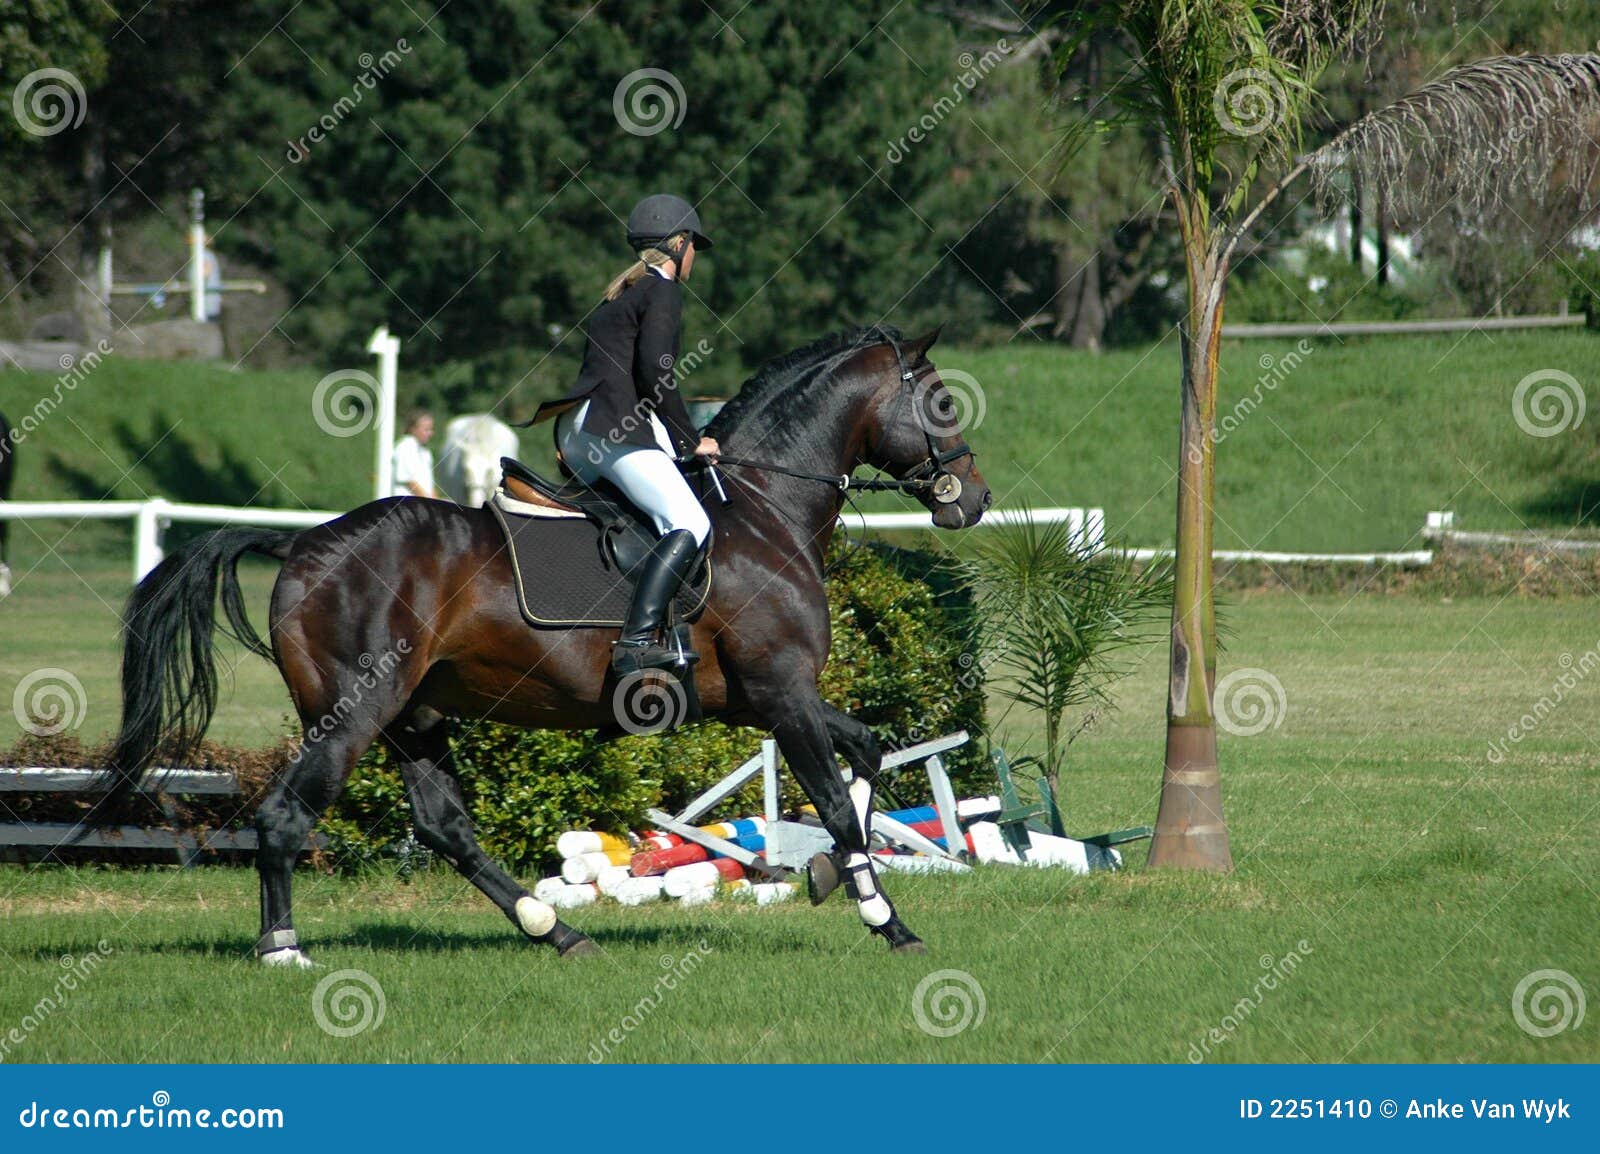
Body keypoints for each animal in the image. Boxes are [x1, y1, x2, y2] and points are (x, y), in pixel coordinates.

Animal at [99, 325, 991, 964]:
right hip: (356, 711)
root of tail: (305, 544)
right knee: (288, 814)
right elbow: (837, 798)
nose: (973, 501)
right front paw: (886, 919)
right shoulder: (782, 692)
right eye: (943, 404)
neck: (765, 505)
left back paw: (553, 929)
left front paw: (826, 873)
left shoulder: (763, 699)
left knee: (445, 827)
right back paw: (282, 949)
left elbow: (868, 752)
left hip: (414, 715)